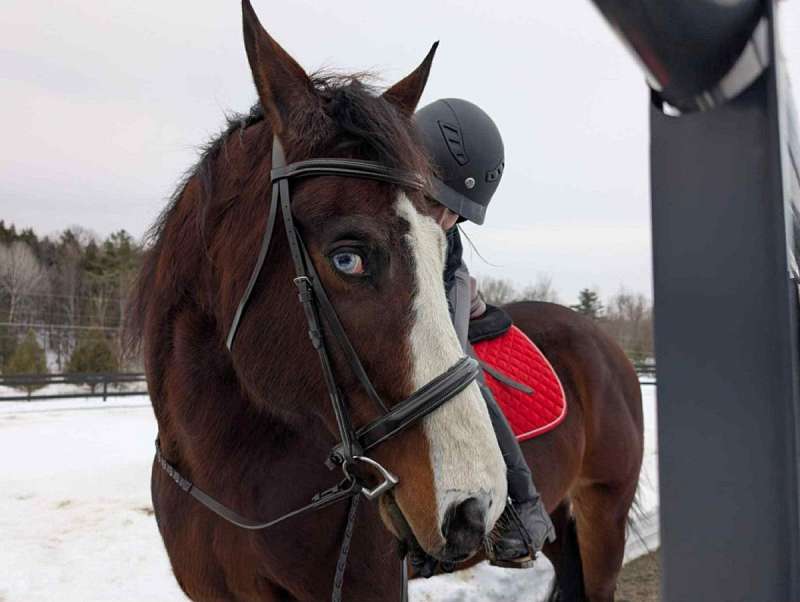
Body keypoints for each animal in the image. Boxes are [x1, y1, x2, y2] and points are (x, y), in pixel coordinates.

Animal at [126, 2, 643, 601]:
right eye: (348, 257)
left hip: (604, 513)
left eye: (440, 243)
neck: (226, 473)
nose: (475, 508)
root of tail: (606, 344)